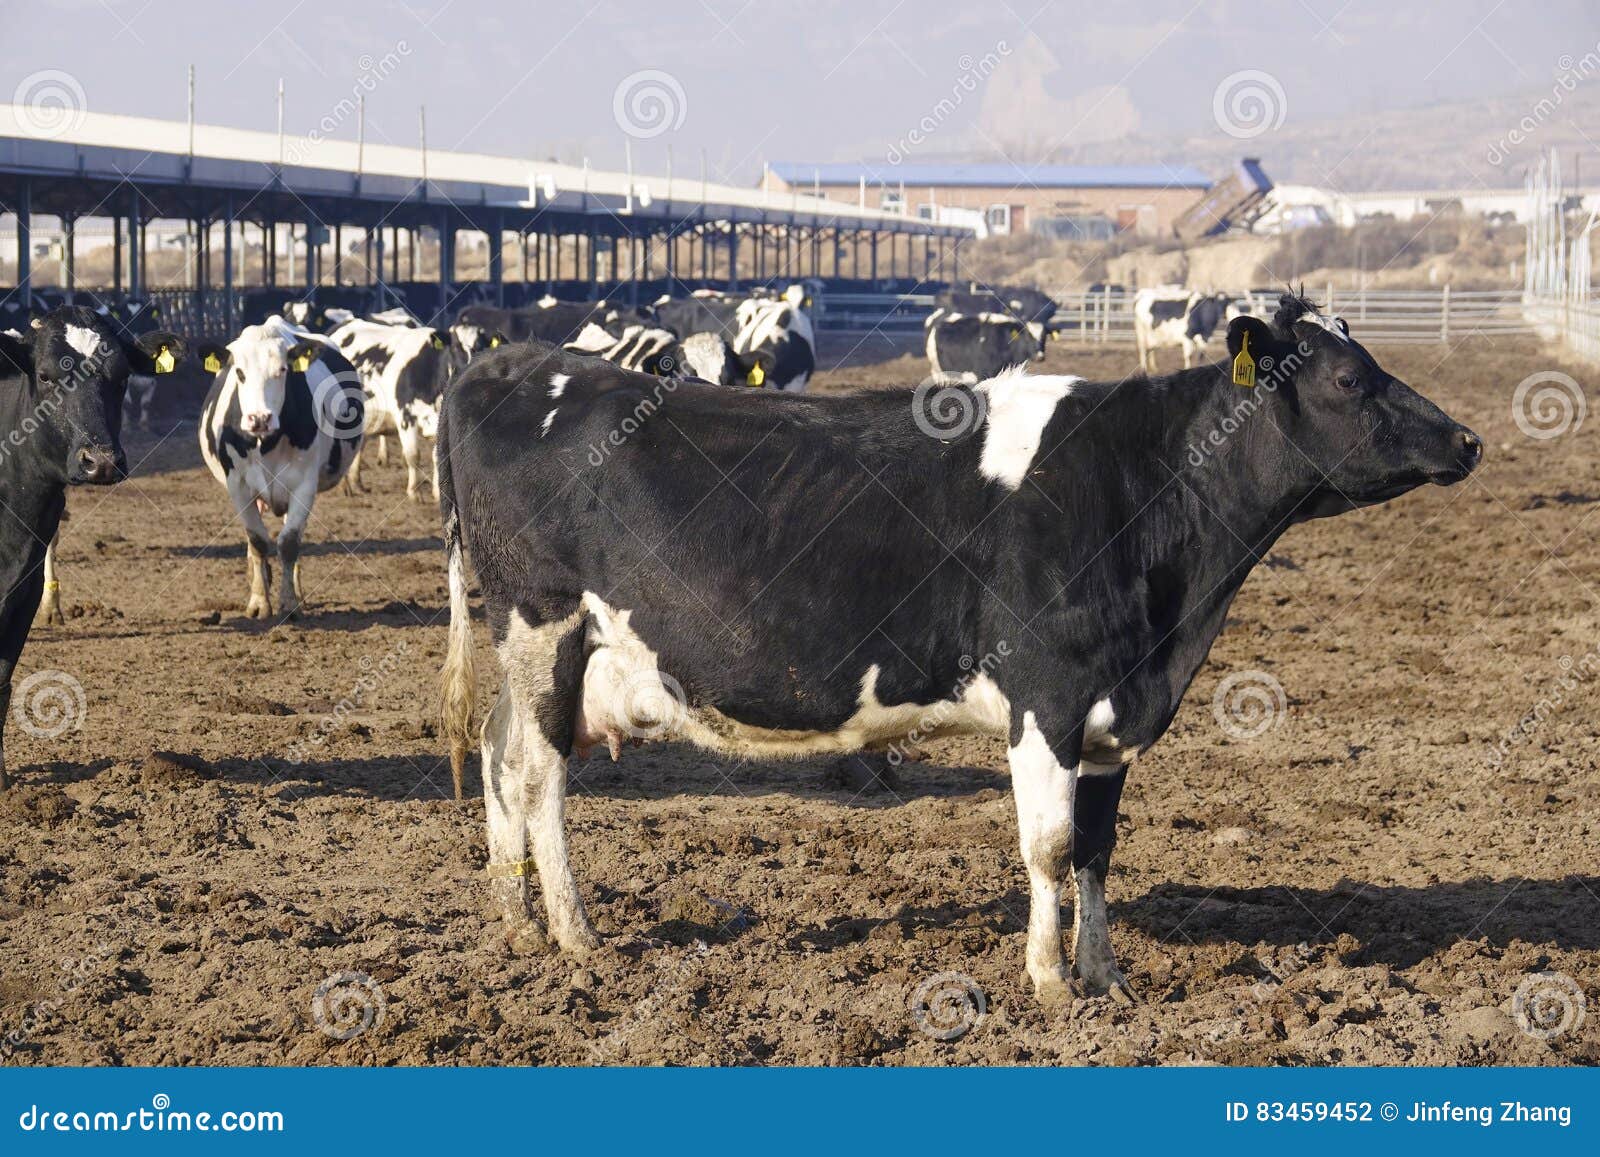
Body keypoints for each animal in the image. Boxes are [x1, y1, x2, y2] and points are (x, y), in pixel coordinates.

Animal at [196, 316, 365, 619]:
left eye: (283, 369)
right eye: (239, 372)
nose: (259, 418)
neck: (267, 442)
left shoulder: (304, 484)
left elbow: (289, 542)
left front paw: (288, 602)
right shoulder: (238, 486)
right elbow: (257, 540)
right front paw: (259, 602)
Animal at [434, 294, 1482, 1000]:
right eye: (1349, 379)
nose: (1469, 439)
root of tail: (509, 366)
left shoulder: (1112, 710)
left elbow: (1098, 847)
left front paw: (1106, 979)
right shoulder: (1048, 694)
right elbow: (1049, 847)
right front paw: (1050, 982)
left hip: (545, 651)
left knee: (496, 753)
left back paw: (514, 920)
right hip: (543, 622)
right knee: (538, 774)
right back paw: (574, 934)